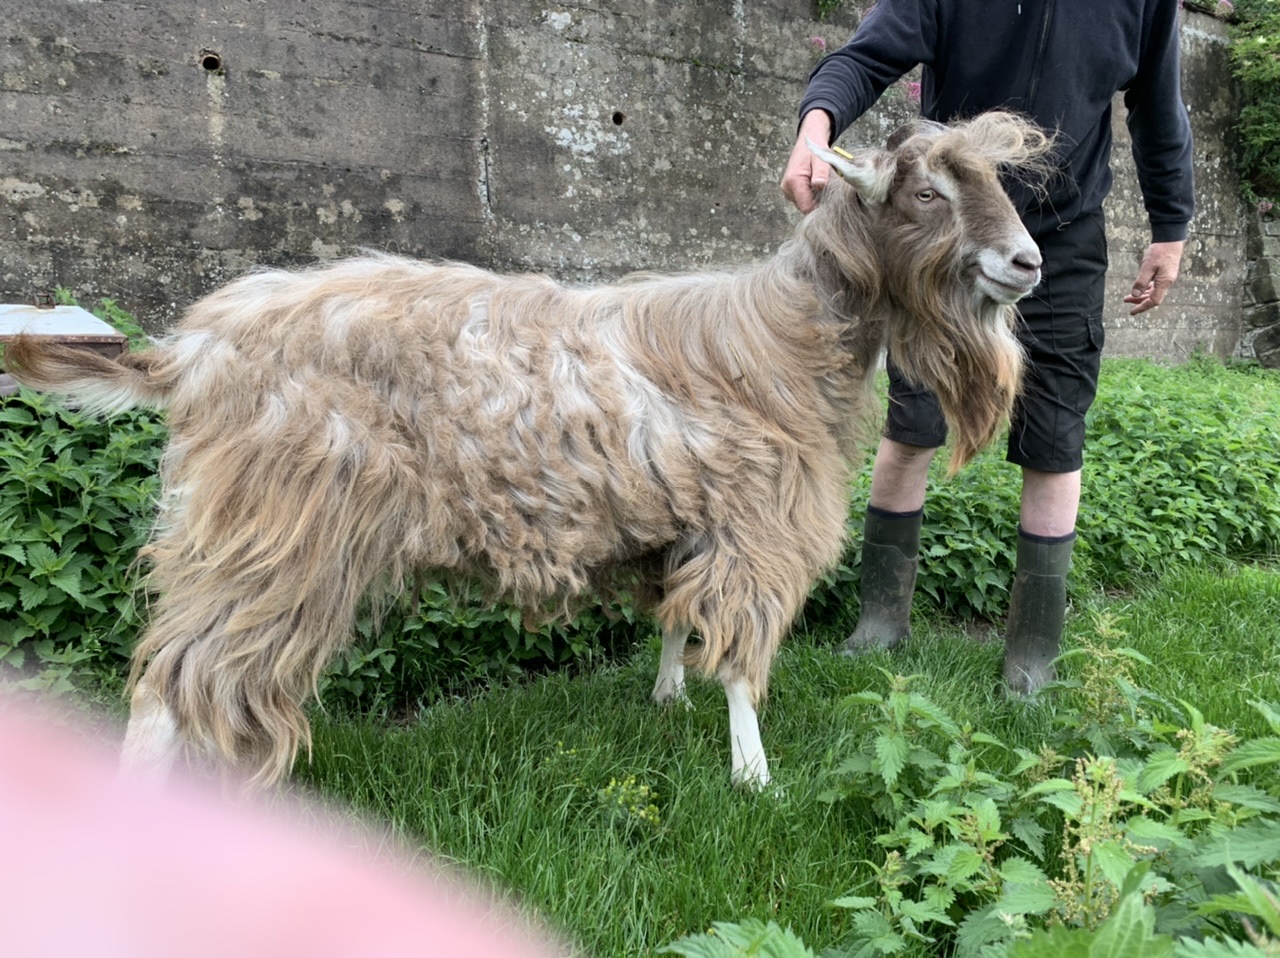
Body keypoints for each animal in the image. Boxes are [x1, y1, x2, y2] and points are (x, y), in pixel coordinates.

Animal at [4, 111, 1051, 790]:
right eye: (928, 192)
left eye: (997, 185)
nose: (1029, 261)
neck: (784, 335)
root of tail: (190, 353)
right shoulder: (756, 529)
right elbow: (742, 661)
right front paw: (753, 775)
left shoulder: (685, 517)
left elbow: (675, 620)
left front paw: (667, 699)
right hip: (270, 540)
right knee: (171, 686)